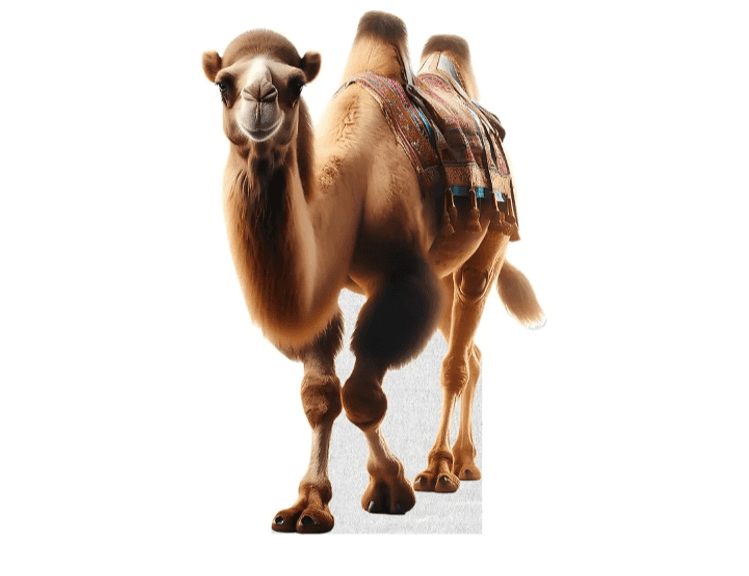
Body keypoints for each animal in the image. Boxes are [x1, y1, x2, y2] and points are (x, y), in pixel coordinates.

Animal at [202, 11, 544, 533]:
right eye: (223, 83)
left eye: (296, 84)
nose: (260, 100)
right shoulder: (324, 288)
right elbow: (320, 395)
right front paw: (308, 506)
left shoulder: (402, 278)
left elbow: (361, 394)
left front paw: (390, 487)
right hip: (442, 274)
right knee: (474, 353)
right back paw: (466, 462)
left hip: (490, 246)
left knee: (457, 358)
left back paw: (440, 468)